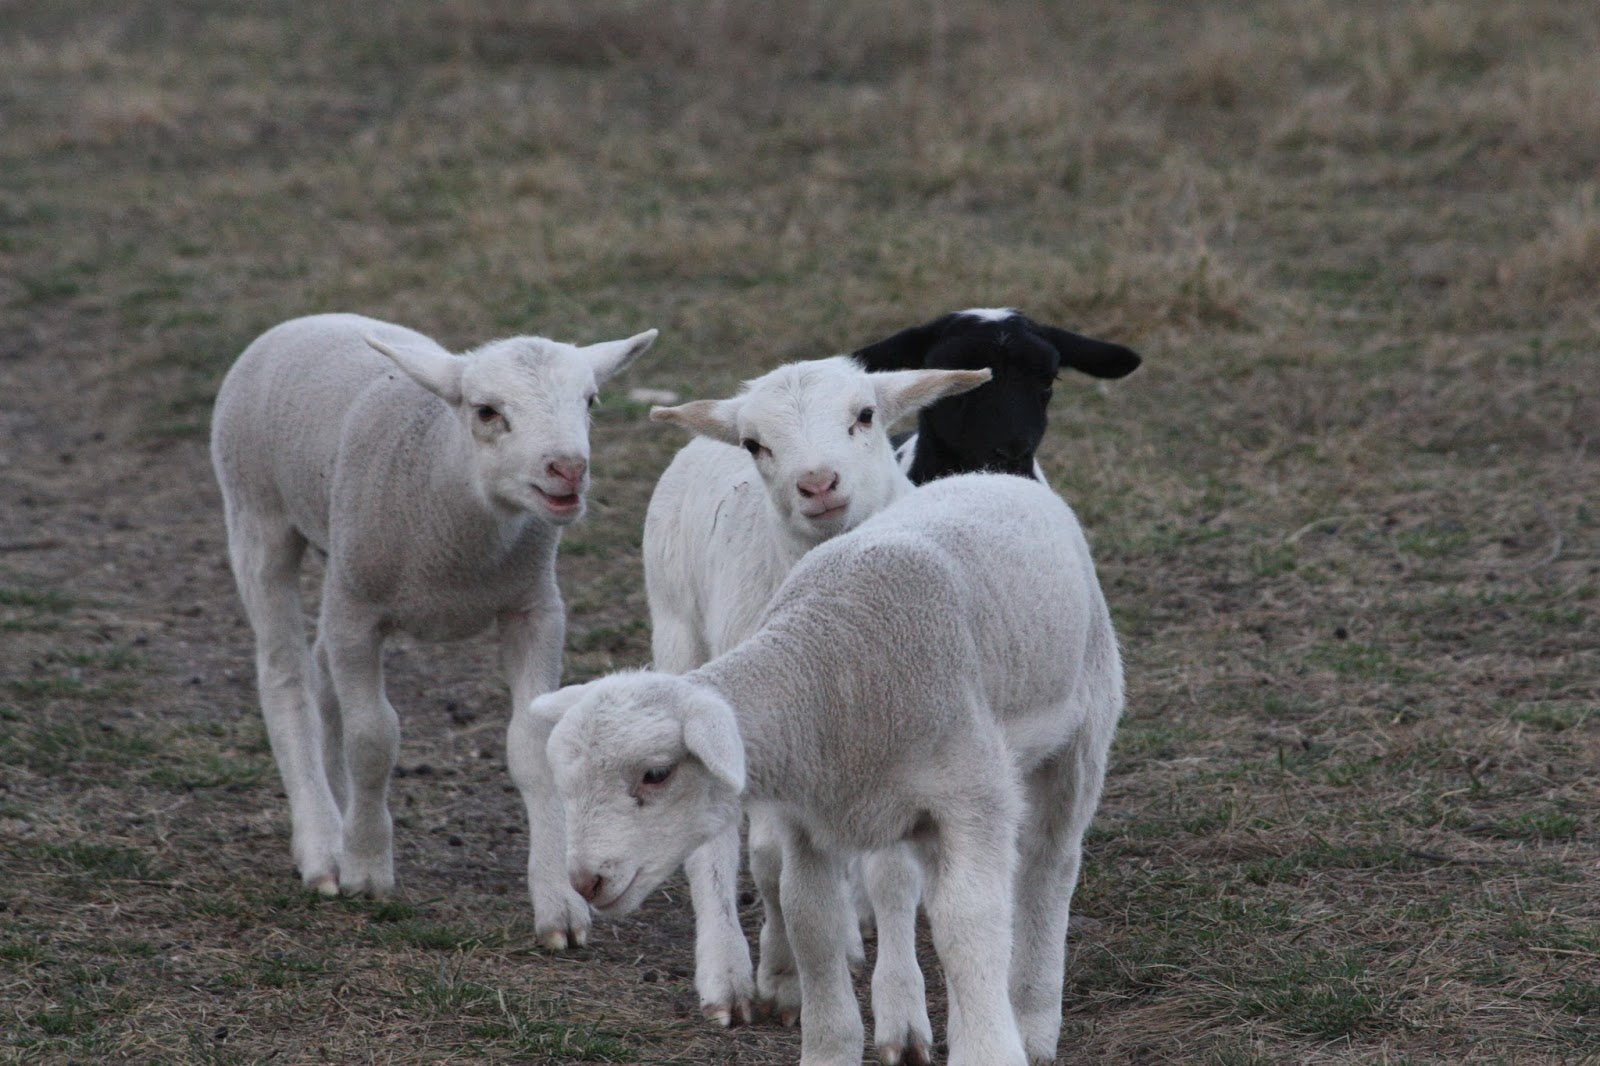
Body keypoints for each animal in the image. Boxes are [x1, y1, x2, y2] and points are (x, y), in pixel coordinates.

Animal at [210, 312, 656, 935]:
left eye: (590, 400)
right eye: (486, 411)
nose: (569, 469)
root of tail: (310, 318)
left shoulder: (534, 610)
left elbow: (530, 744)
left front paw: (557, 903)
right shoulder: (358, 616)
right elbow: (373, 738)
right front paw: (366, 867)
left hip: (336, 564)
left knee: (321, 673)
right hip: (258, 515)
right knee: (286, 675)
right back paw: (323, 845)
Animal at [525, 473, 1124, 1066]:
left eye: (656, 774)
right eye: (569, 786)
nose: (585, 881)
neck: (827, 666)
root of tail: (999, 475)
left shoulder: (974, 796)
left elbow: (968, 922)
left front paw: (989, 1049)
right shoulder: (810, 819)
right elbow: (810, 923)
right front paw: (831, 1045)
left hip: (1083, 725)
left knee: (1049, 866)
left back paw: (1033, 1021)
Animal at [639, 355, 990, 1051]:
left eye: (865, 415)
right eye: (755, 444)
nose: (817, 483)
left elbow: (893, 875)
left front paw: (901, 1011)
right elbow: (774, 863)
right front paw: (784, 978)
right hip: (679, 634)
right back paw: (726, 973)